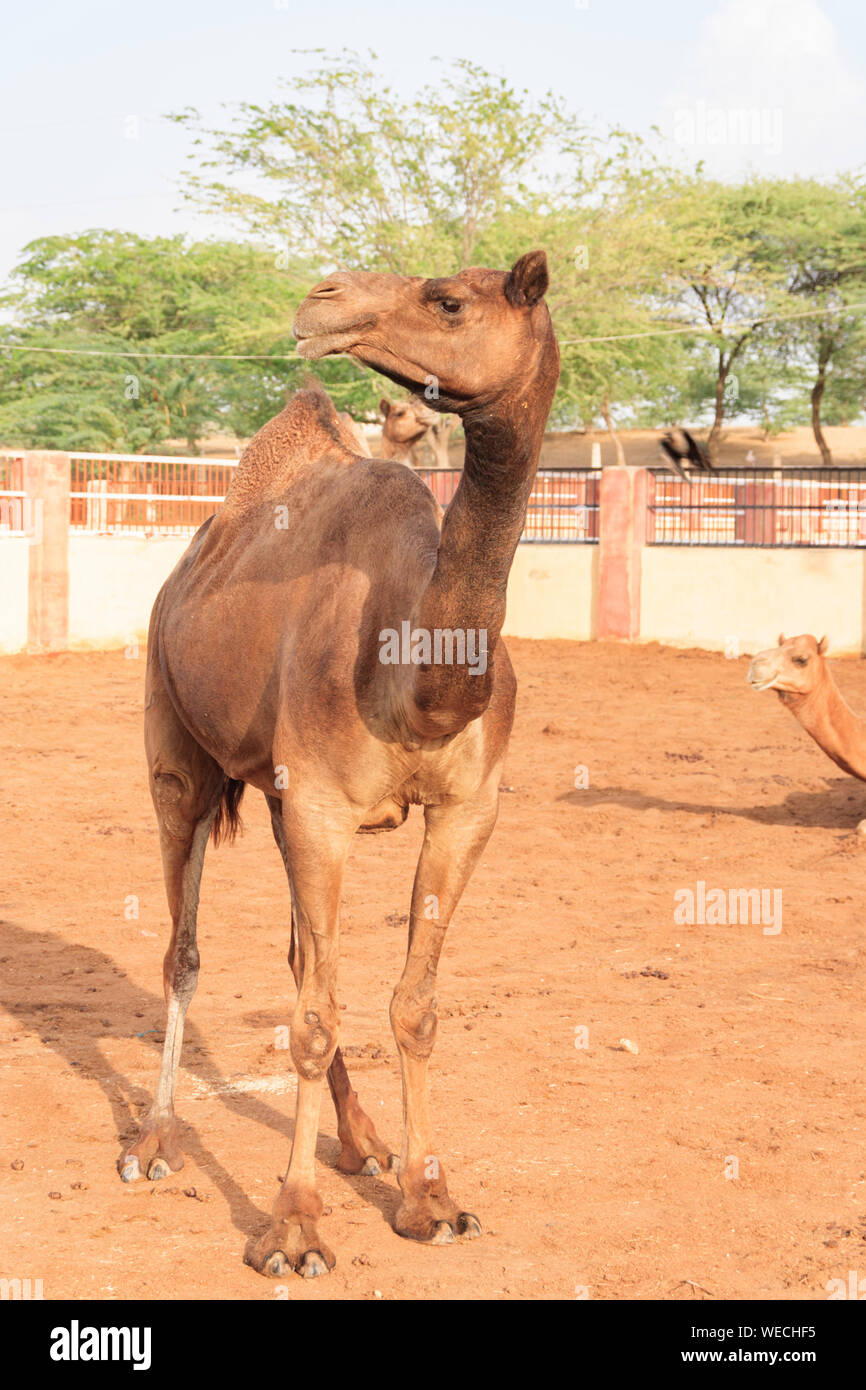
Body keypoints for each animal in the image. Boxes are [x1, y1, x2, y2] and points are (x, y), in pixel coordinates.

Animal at [120, 250, 560, 1279]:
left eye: (449, 300)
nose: (322, 299)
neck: (414, 672)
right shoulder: (322, 805)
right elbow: (313, 1019)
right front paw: (291, 1227)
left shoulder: (466, 809)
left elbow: (412, 1005)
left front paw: (431, 1198)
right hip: (177, 752)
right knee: (183, 949)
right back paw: (154, 1140)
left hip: (281, 805)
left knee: (297, 960)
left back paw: (363, 1143)